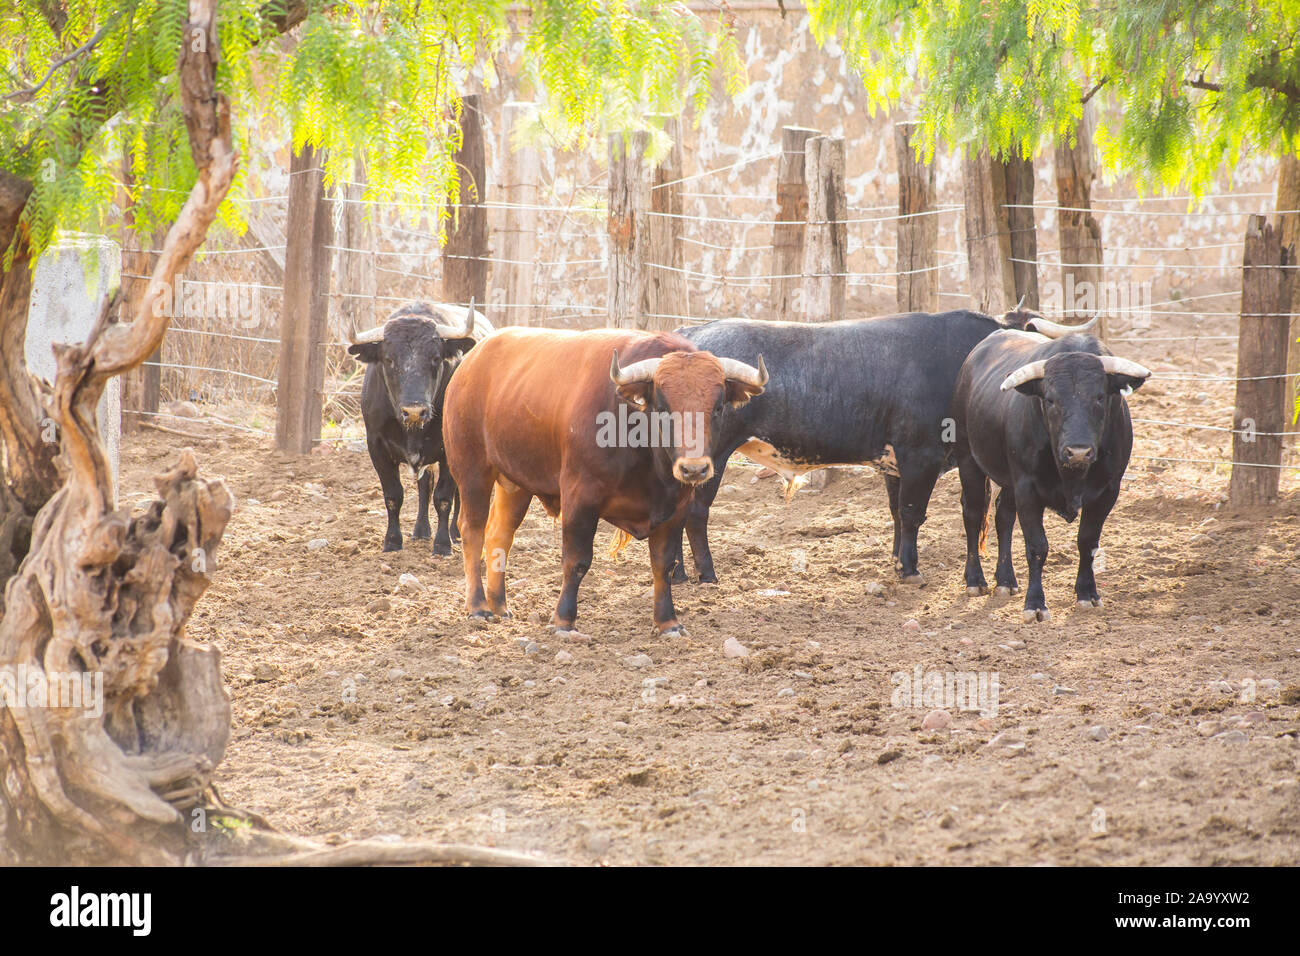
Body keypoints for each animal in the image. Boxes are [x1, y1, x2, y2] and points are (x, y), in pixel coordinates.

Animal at [348, 300, 493, 557]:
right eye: (389, 359)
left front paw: (443, 544)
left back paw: (456, 533)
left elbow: (444, 497)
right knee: (425, 486)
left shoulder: (448, 451)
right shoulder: (376, 447)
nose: (414, 411)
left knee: (460, 492)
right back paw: (421, 530)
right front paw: (392, 542)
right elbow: (393, 495)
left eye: (435, 358)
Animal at [442, 328, 769, 635]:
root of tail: (472, 360)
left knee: (500, 535)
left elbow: (663, 565)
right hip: (471, 473)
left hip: (515, 483)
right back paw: (478, 606)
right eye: (662, 408)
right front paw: (564, 620)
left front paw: (668, 622)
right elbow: (577, 561)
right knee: (472, 532)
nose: (694, 469)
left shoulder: (676, 509)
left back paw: (499, 604)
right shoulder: (579, 499)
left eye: (718, 407)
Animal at [667, 308, 1088, 586]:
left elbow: (898, 514)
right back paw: (705, 574)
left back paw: (678, 574)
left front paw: (897, 559)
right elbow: (914, 513)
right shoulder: (920, 456)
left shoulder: (894, 464)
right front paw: (909, 569)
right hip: (711, 459)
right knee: (696, 514)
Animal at [949, 326, 1150, 621]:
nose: (1078, 451)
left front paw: (1087, 594)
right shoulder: (1027, 488)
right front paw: (1035, 604)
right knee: (974, 514)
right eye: (1051, 400)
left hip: (1008, 482)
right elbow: (1037, 546)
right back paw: (975, 579)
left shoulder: (1108, 490)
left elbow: (1087, 541)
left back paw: (1006, 580)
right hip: (968, 459)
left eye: (1100, 397)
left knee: (1003, 516)